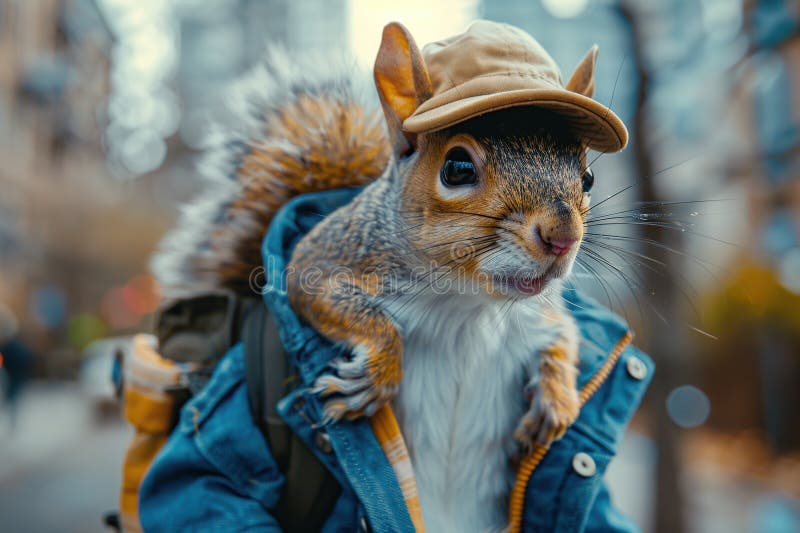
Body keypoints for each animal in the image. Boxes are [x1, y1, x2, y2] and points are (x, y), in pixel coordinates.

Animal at [154, 20, 624, 533]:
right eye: (457, 167)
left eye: (588, 177)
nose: (563, 238)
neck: (469, 303)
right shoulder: (319, 265)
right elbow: (346, 308)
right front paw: (376, 376)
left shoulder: (542, 310)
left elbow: (565, 334)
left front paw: (556, 401)